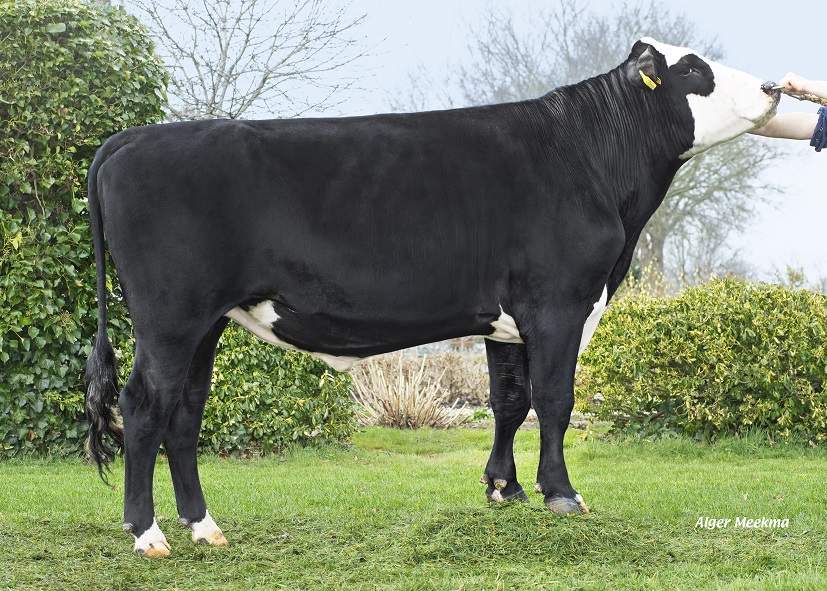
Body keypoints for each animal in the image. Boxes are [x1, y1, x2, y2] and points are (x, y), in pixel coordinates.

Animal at [84, 38, 780, 556]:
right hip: (169, 318)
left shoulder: (507, 319)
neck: (592, 159)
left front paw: (504, 491)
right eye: (694, 71)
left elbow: (509, 401)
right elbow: (555, 401)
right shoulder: (560, 303)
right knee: (143, 405)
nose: (774, 88)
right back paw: (146, 533)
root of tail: (133, 138)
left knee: (184, 412)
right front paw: (561, 494)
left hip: (206, 323)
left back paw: (204, 526)